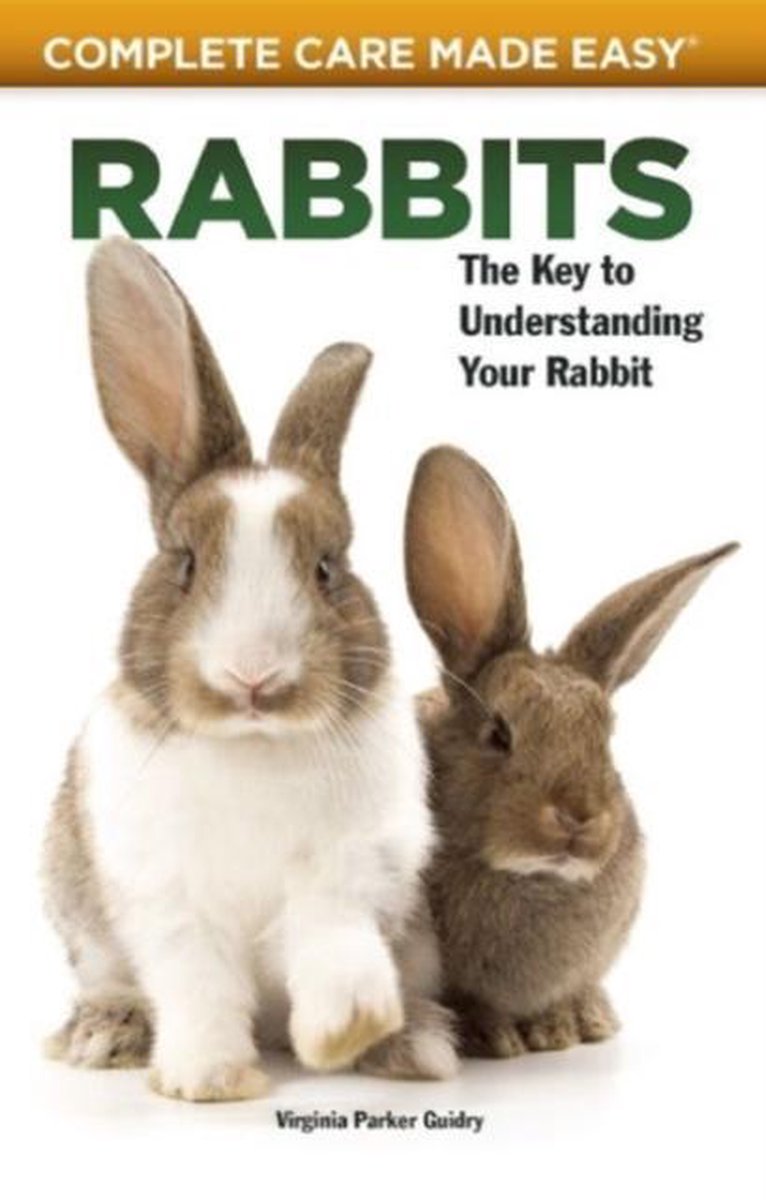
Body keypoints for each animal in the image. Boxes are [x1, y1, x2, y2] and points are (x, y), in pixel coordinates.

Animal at [41, 238, 457, 1101]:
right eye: (185, 563)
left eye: (328, 568)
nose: (253, 677)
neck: (255, 745)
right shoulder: (167, 897)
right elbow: (197, 983)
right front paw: (209, 1081)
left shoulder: (354, 863)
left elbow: (331, 939)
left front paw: (348, 1029)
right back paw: (103, 1034)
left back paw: (413, 1045)